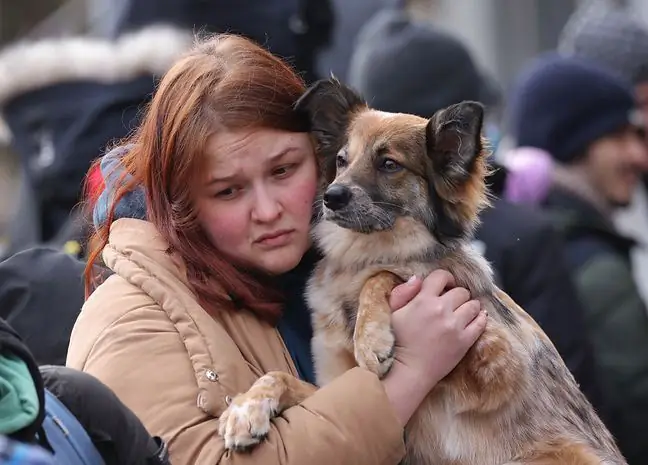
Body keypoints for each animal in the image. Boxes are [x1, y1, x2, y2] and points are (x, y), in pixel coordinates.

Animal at [218, 77, 628, 464]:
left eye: (389, 164)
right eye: (341, 160)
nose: (332, 197)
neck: (362, 254)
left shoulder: (495, 361)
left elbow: (384, 275)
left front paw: (371, 339)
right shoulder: (345, 396)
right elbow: (279, 377)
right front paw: (245, 409)